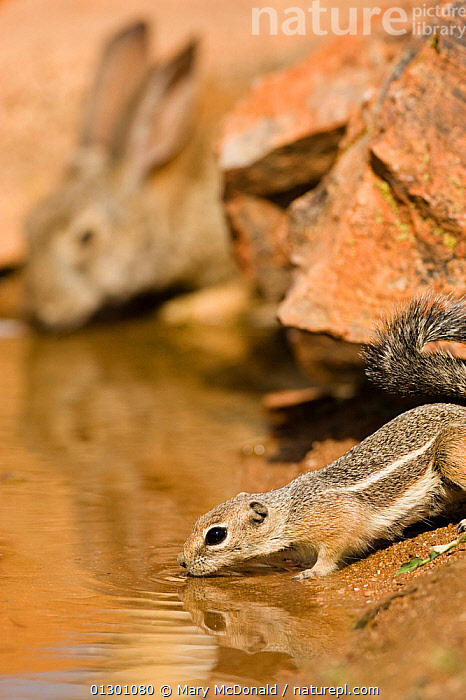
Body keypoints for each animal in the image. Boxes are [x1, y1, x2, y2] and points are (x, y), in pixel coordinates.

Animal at [178, 293, 466, 579]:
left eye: (216, 535)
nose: (181, 561)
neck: (290, 513)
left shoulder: (339, 525)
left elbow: (331, 554)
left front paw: (311, 573)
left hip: (450, 453)